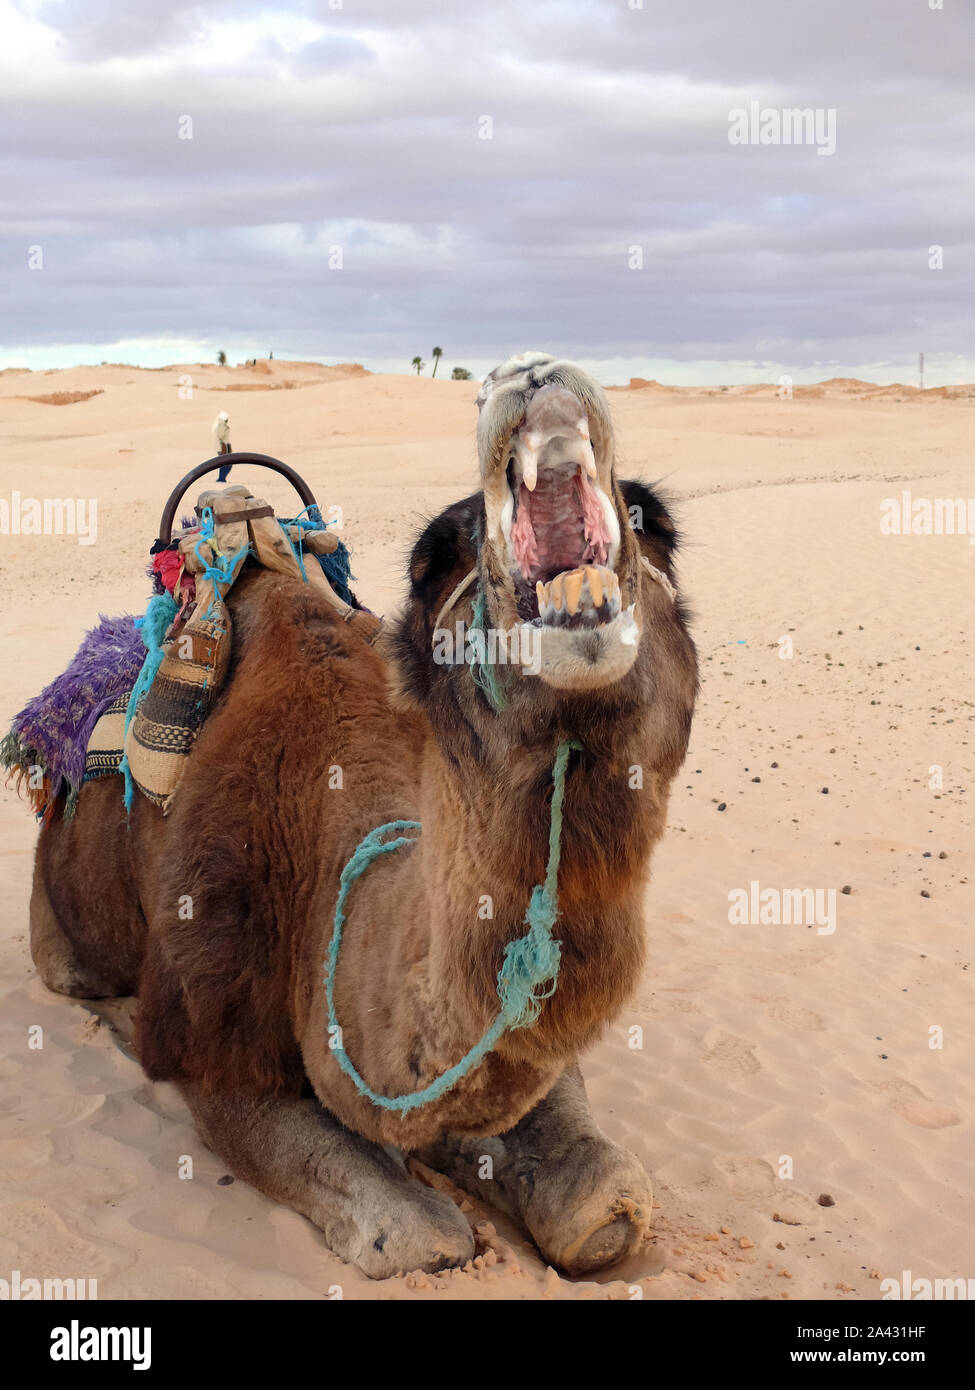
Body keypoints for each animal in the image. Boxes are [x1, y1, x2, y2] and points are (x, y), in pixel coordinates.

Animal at [28, 352, 697, 1280]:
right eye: (430, 561)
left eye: (655, 521)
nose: (533, 374)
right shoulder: (210, 1037)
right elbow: (417, 1234)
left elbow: (603, 1203)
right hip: (57, 931)